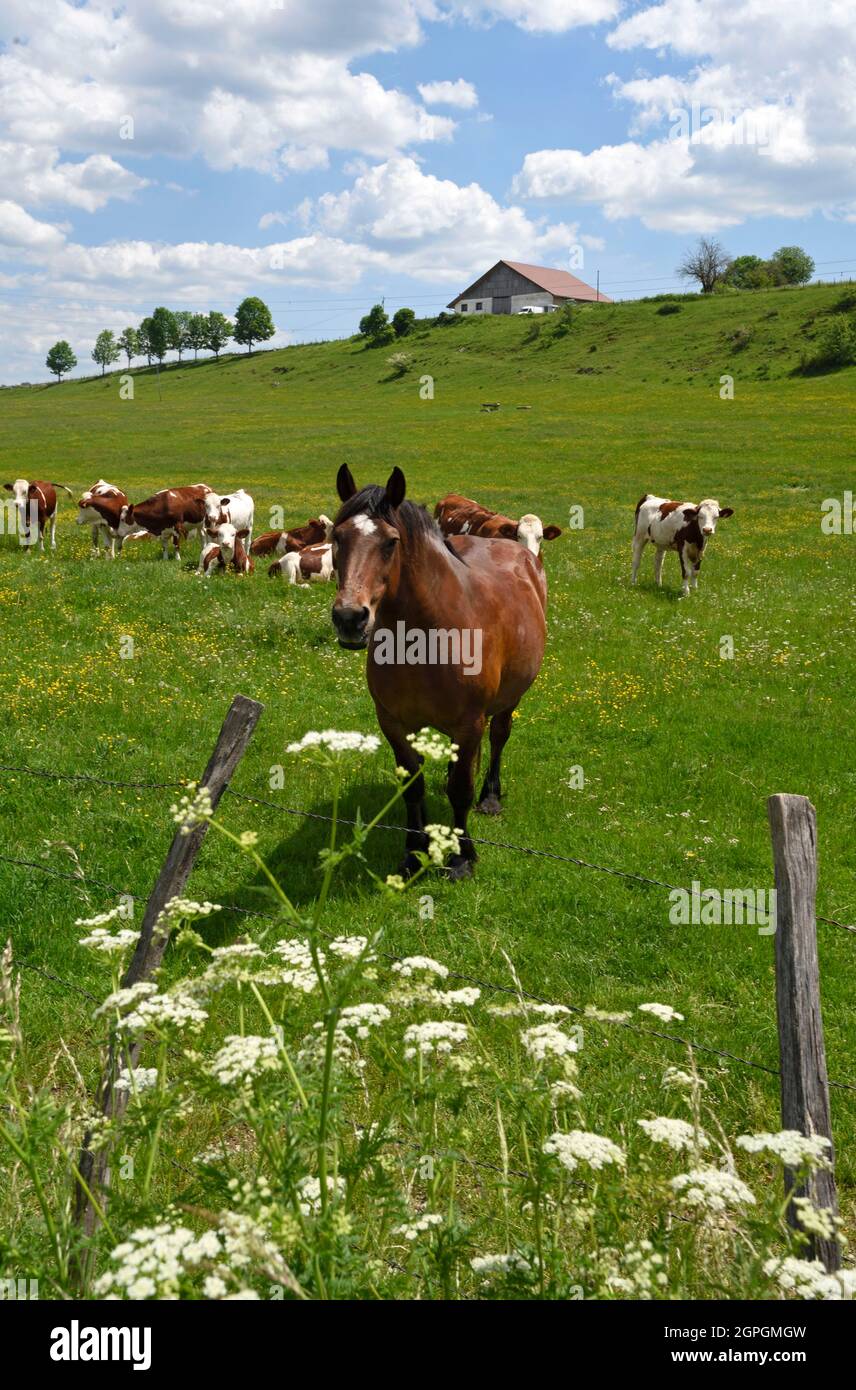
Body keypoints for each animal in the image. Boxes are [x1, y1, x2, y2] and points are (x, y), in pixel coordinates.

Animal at [330, 464, 548, 880]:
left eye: (391, 543)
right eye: (336, 536)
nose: (350, 618)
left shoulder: (469, 723)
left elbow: (461, 790)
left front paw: (462, 856)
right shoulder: (394, 723)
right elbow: (412, 787)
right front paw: (413, 850)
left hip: (509, 700)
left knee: (498, 738)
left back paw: (490, 796)